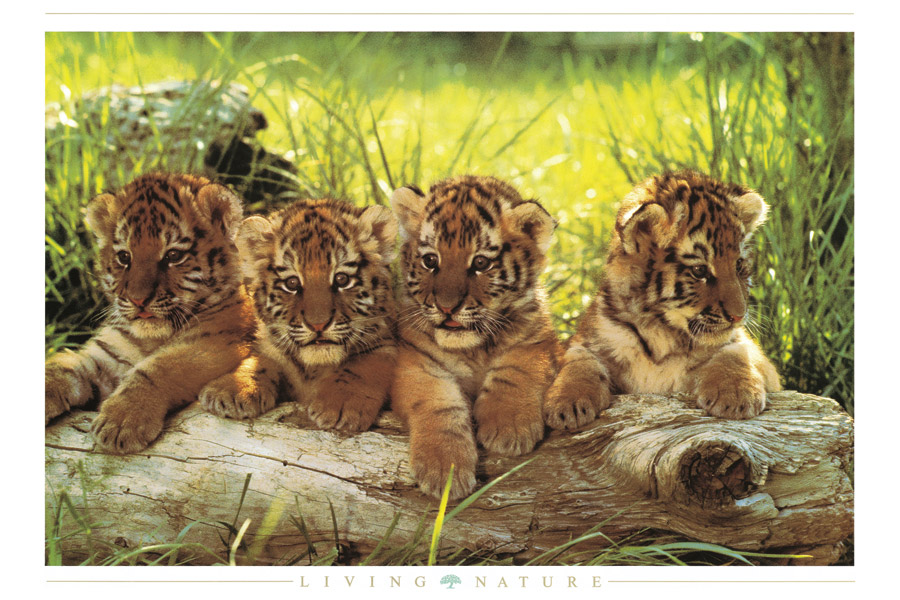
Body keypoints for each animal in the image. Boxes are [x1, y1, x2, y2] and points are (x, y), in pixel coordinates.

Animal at [44, 173, 257, 453]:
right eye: (124, 257)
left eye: (173, 255)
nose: (138, 299)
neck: (150, 338)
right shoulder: (104, 357)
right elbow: (62, 366)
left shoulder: (214, 343)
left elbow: (157, 367)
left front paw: (122, 421)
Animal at [198, 198, 398, 433]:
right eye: (292, 283)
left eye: (342, 279)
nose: (318, 325)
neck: (313, 368)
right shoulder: (271, 349)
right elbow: (259, 362)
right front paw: (230, 389)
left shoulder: (385, 346)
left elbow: (360, 367)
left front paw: (339, 405)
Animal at [390, 175, 561, 500]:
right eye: (430, 260)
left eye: (481, 263)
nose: (447, 307)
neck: (472, 348)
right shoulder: (414, 359)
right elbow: (439, 402)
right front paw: (443, 468)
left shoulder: (537, 340)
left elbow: (515, 371)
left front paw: (508, 426)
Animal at [544, 170, 781, 429]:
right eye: (699, 270)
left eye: (738, 265)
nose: (738, 316)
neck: (662, 334)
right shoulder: (586, 341)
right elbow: (579, 361)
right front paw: (567, 403)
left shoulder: (750, 353)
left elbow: (737, 351)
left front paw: (736, 396)